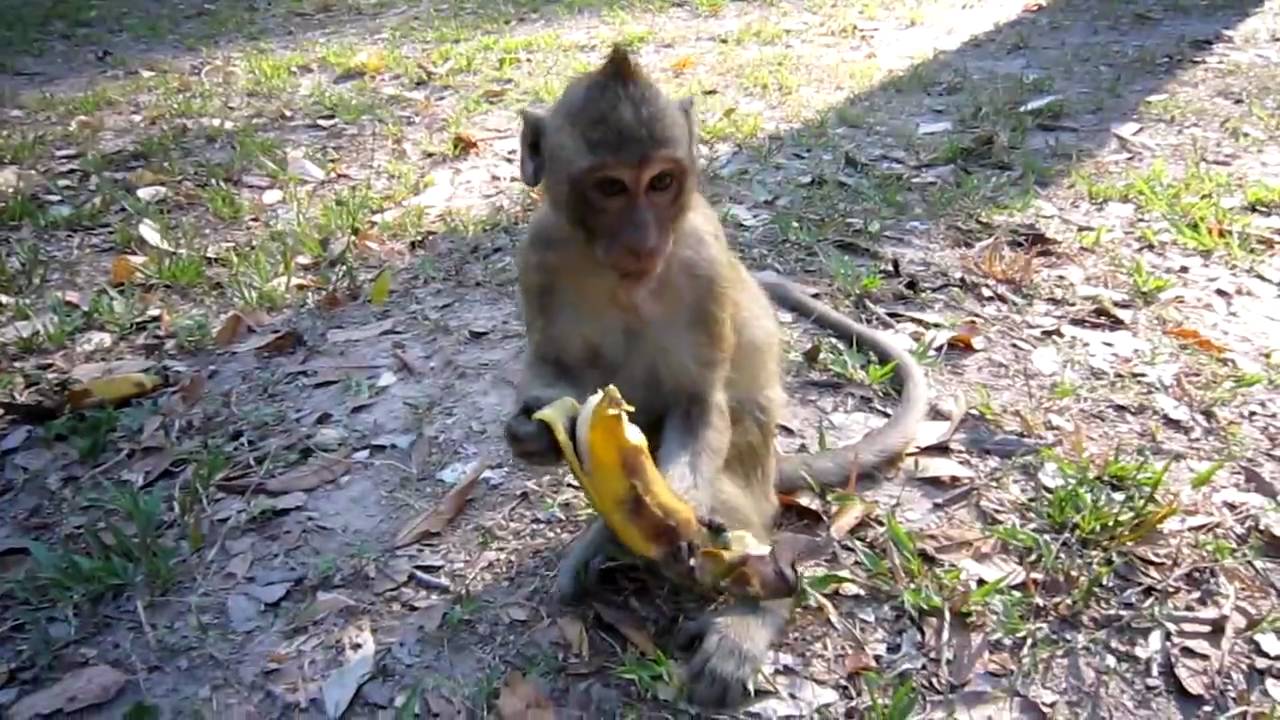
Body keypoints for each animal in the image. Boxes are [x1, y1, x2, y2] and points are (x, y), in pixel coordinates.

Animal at [502, 45, 928, 709]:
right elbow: (558, 371)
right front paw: (531, 431)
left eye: (660, 182)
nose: (643, 239)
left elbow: (699, 403)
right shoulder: (541, 252)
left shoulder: (700, 259)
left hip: (753, 483)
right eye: (610, 187)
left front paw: (680, 511)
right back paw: (608, 541)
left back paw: (749, 612)